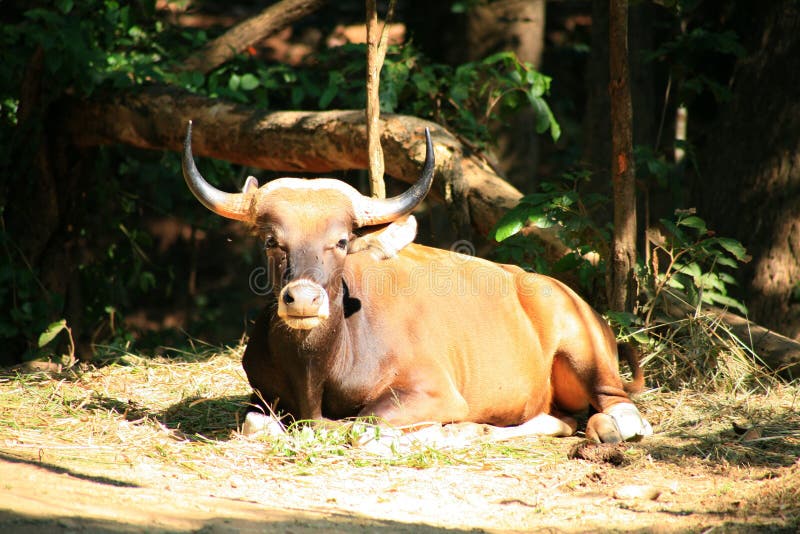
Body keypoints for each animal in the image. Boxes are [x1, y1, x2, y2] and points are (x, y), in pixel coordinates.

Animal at [181, 121, 652, 447]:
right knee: (560, 419)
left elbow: (362, 425)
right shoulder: (260, 396)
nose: (303, 300)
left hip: (585, 350)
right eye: (271, 240)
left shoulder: (434, 392)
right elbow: (256, 424)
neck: (318, 367)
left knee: (618, 406)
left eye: (341, 240)